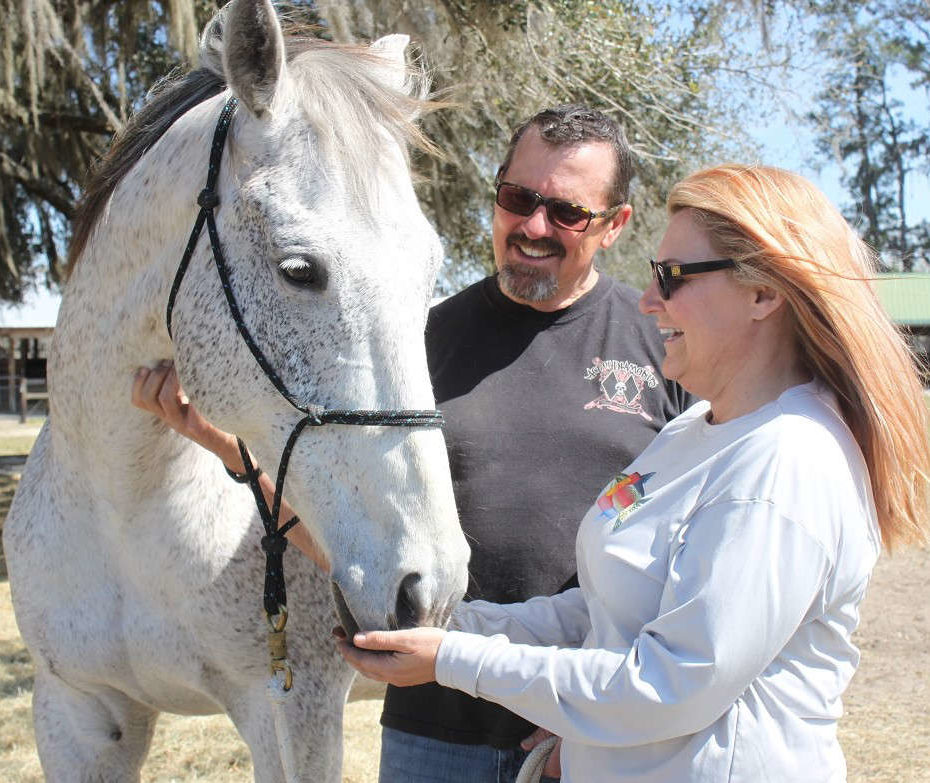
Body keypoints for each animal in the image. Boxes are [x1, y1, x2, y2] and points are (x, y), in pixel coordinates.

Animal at [2, 1, 469, 780]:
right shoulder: (75, 713)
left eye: (428, 267)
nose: (427, 586)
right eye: (299, 269)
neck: (123, 510)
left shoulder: (292, 713)